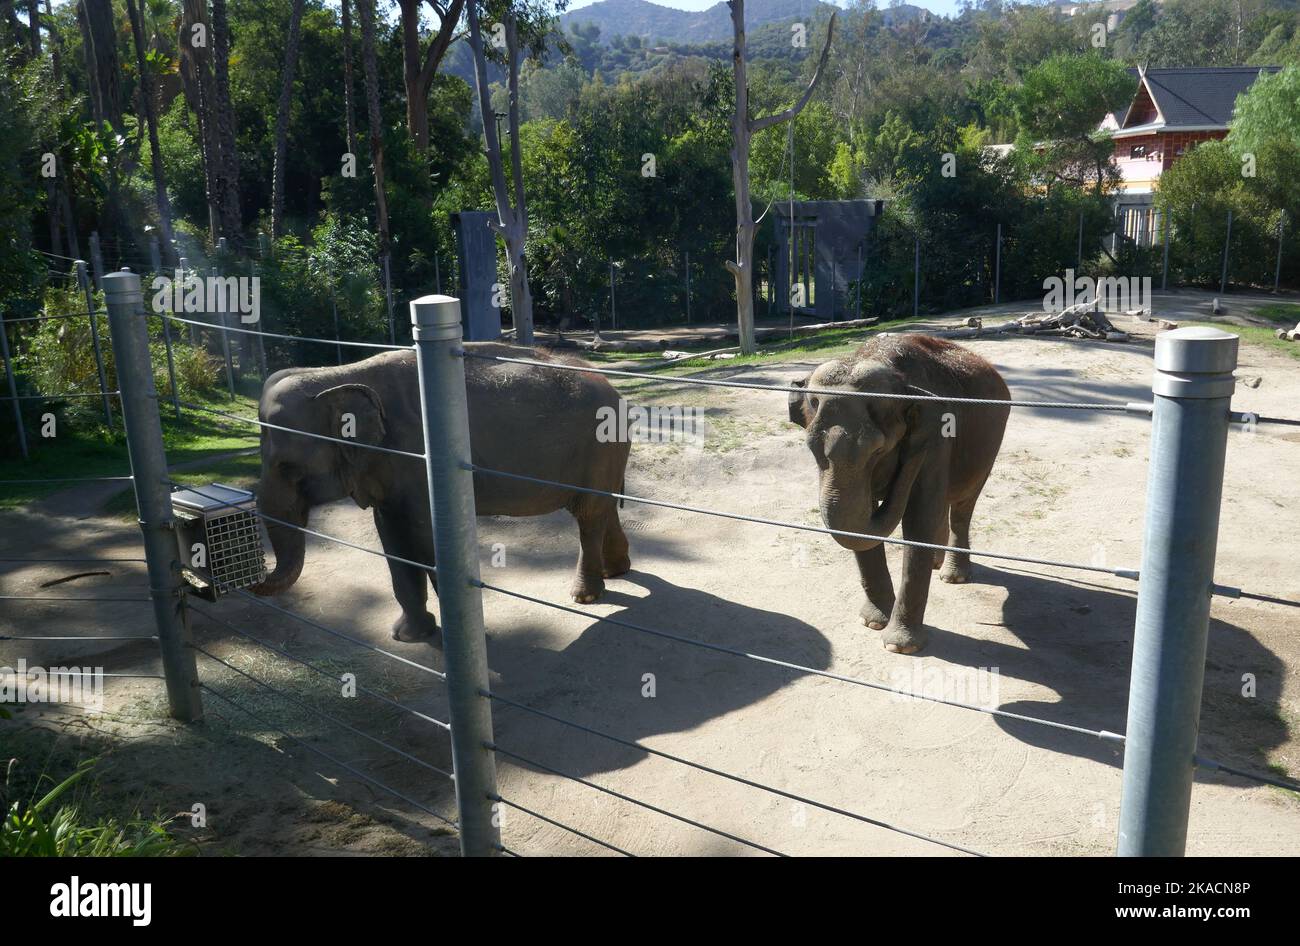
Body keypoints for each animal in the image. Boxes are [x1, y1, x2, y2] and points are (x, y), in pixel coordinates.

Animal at [250, 343, 632, 643]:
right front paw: (407, 636)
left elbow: (425, 538)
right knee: (604, 509)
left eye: (287, 467)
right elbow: (393, 540)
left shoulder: (419, 461)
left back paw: (585, 597)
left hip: (599, 448)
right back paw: (615, 572)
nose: (252, 573)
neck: (337, 375)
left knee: (590, 514)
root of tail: (616, 391)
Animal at [787, 334, 1009, 655]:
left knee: (964, 504)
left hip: (989, 446)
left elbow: (918, 520)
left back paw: (952, 576)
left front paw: (899, 647)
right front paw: (873, 623)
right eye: (811, 448)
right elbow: (865, 524)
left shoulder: (936, 438)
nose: (911, 456)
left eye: (878, 451)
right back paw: (936, 563)